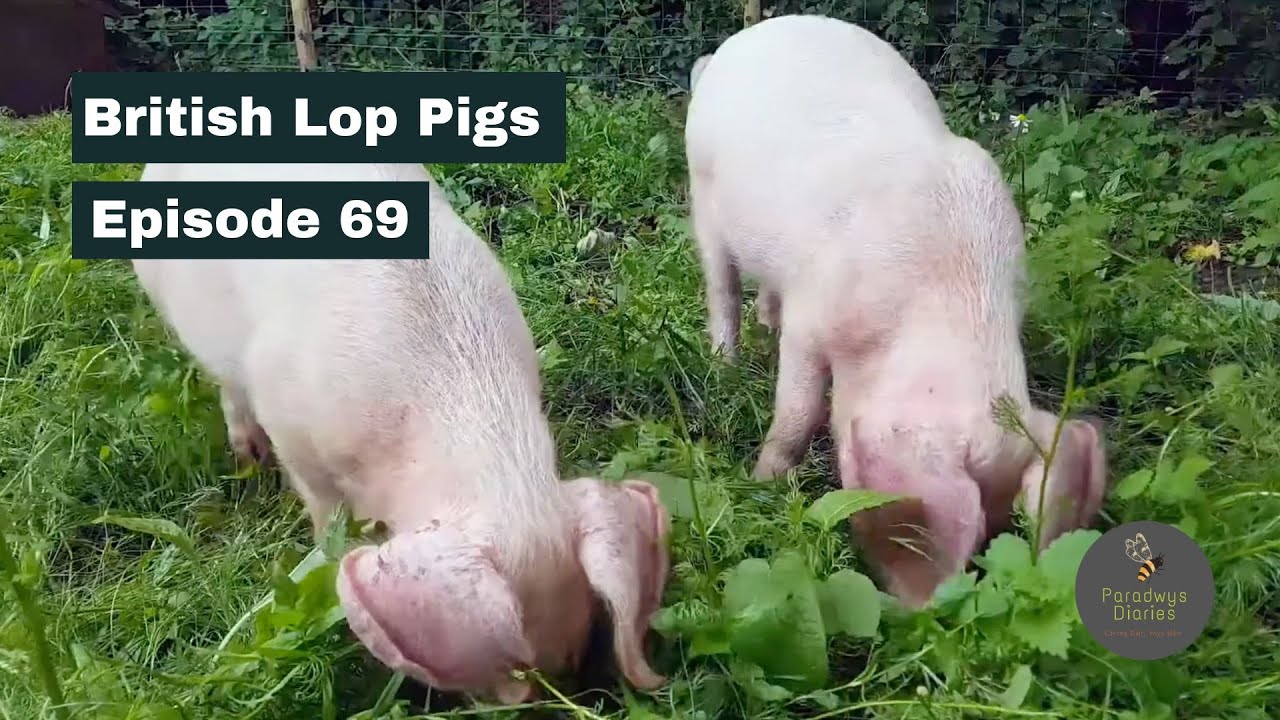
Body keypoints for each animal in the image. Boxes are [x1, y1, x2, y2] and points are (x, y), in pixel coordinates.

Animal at [130, 162, 671, 704]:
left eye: (576, 645)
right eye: (512, 669)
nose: (557, 687)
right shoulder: (293, 428)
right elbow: (324, 510)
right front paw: (328, 550)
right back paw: (249, 459)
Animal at [682, 15, 1108, 608]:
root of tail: (747, 36)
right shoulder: (812, 319)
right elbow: (798, 412)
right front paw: (763, 479)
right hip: (702, 197)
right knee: (720, 285)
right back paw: (725, 365)